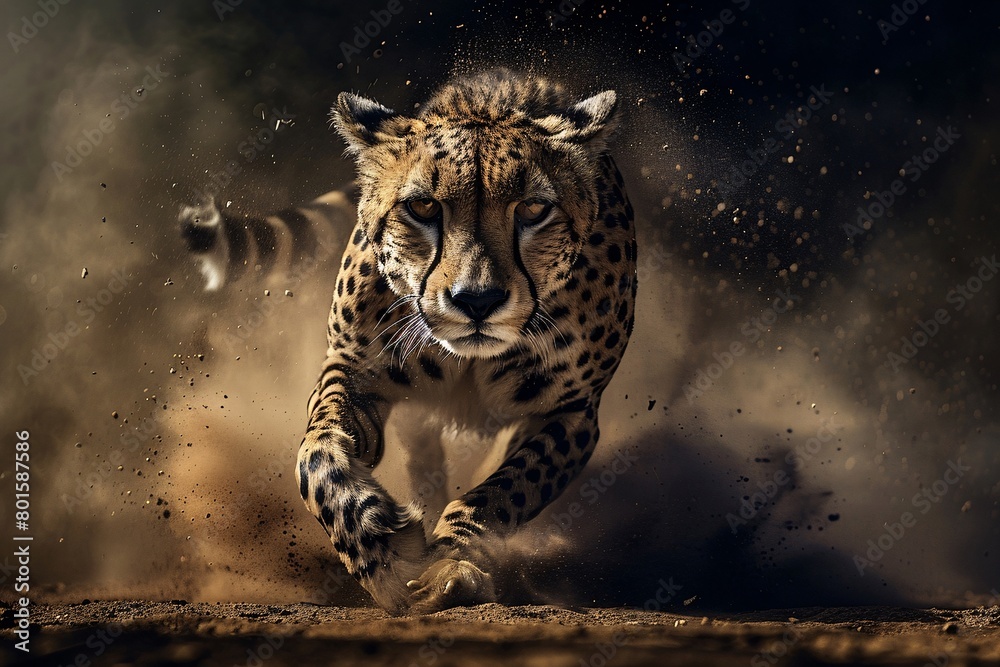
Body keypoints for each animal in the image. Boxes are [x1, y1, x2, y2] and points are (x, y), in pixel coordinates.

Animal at [180, 69, 637, 615]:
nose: (477, 300)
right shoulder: (353, 370)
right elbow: (316, 454)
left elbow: (504, 490)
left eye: (533, 209)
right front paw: (378, 547)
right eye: (422, 207)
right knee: (422, 461)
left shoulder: (571, 412)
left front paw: (452, 564)